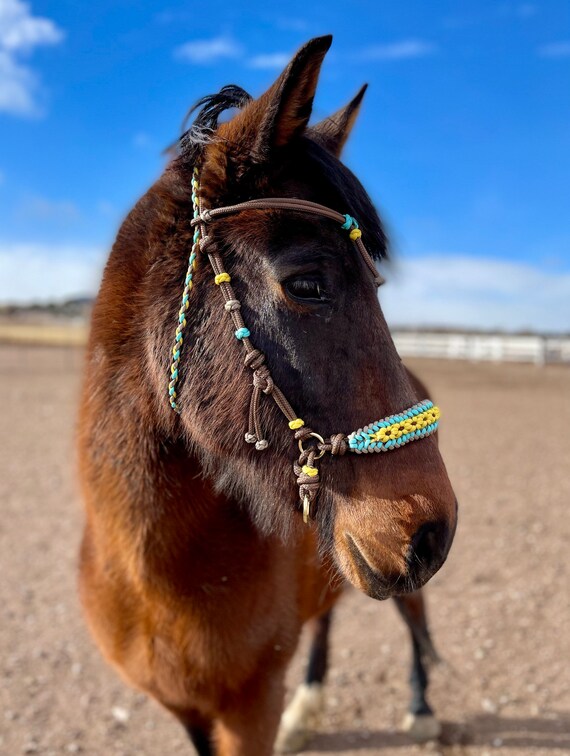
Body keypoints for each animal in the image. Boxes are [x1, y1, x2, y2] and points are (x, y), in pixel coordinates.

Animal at [77, 35, 457, 756]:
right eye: (306, 283)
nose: (432, 533)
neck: (155, 579)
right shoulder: (190, 713)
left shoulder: (247, 711)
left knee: (415, 616)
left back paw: (423, 708)